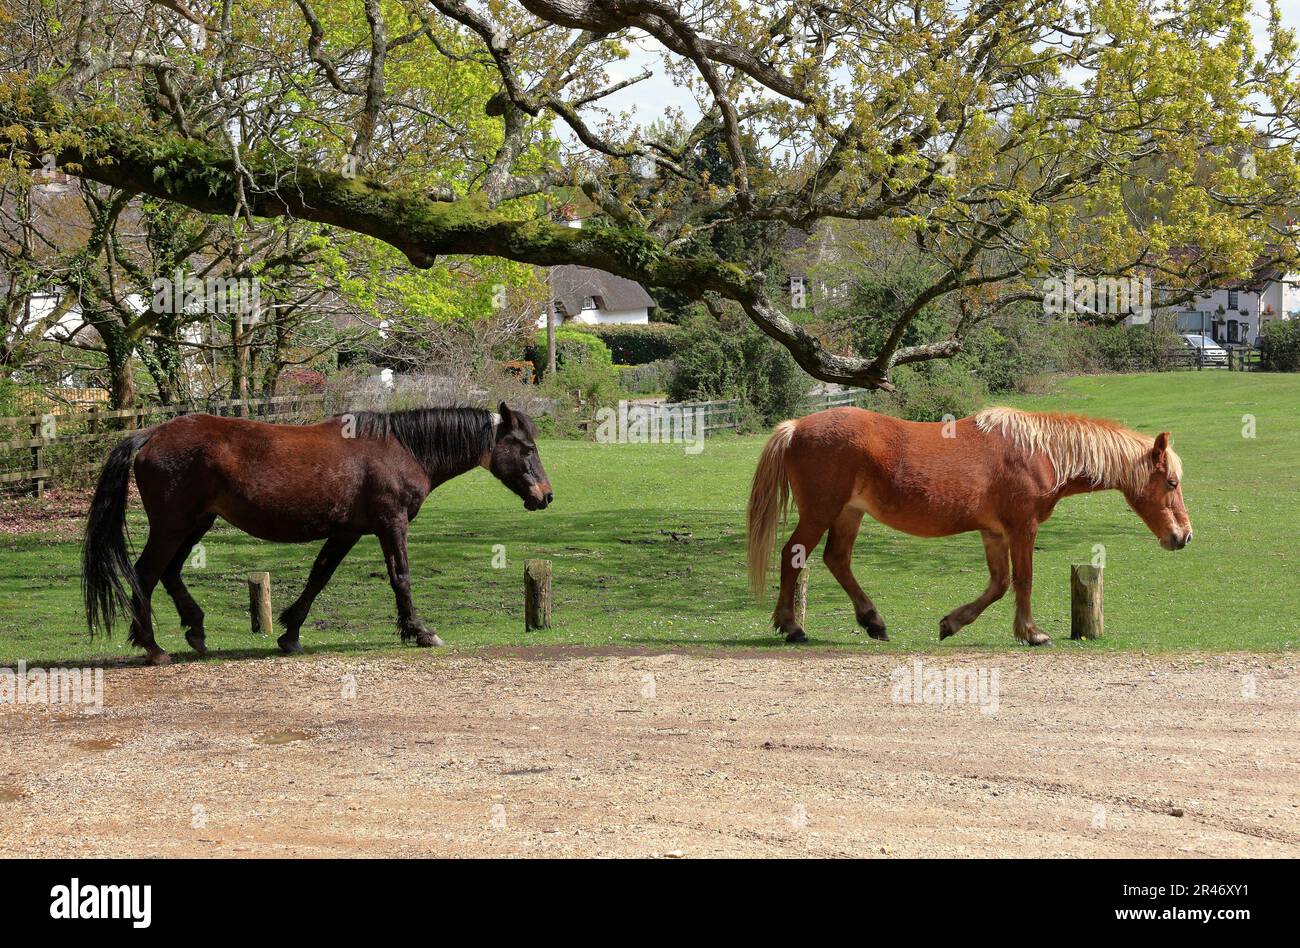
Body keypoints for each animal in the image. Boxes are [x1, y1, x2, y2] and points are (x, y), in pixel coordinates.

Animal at [82, 402, 552, 665]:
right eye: (527, 448)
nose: (545, 496)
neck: (401, 448)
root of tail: (150, 433)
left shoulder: (347, 532)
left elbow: (318, 576)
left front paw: (290, 633)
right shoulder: (391, 524)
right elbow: (400, 578)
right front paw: (420, 632)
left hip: (196, 523)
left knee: (170, 572)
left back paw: (194, 630)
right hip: (173, 525)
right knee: (146, 574)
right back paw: (152, 647)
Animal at [746, 406, 1191, 646]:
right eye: (1172, 482)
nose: (1183, 536)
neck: (1040, 452)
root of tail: (796, 427)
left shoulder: (993, 532)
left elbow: (999, 584)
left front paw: (952, 623)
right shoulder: (1022, 527)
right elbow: (1023, 580)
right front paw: (1032, 633)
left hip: (848, 514)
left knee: (836, 560)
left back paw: (872, 621)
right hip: (821, 513)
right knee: (792, 555)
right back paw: (791, 626)